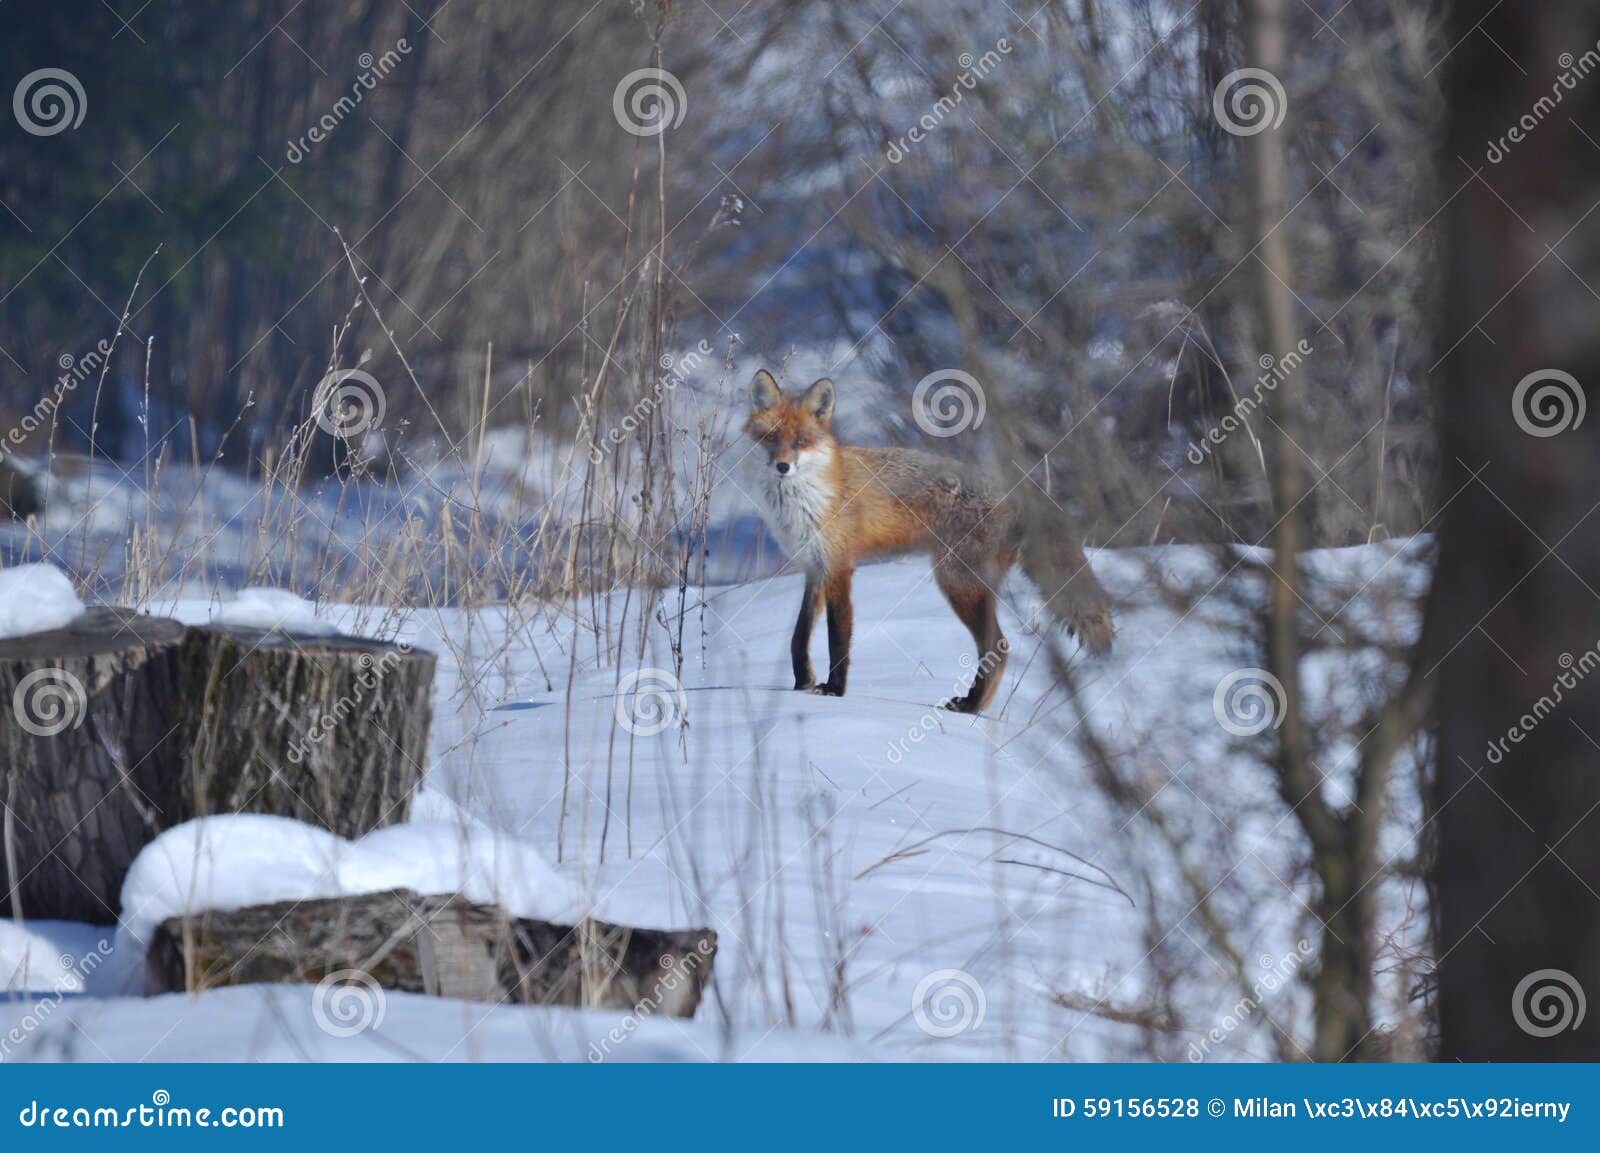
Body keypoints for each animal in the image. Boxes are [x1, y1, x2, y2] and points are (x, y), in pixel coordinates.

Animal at [744, 369, 1113, 714]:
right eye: (771, 438)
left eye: (801, 441)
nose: (782, 466)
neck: (805, 500)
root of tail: (1017, 490)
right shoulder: (814, 566)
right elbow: (799, 636)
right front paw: (801, 684)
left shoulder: (839, 566)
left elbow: (838, 636)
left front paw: (835, 691)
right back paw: (975, 705)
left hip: (957, 581)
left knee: (999, 646)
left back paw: (970, 706)